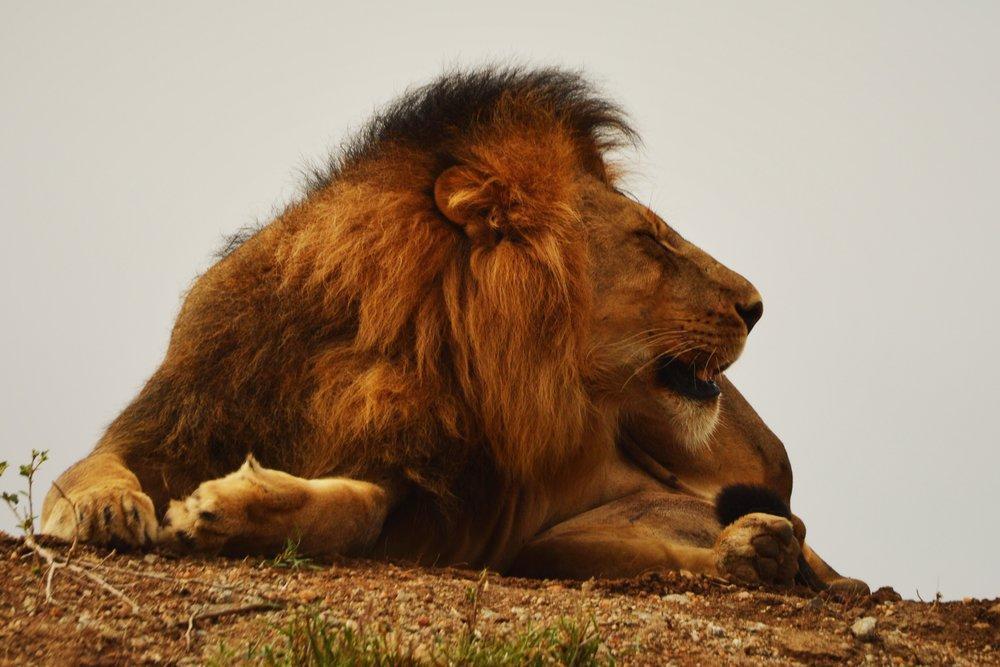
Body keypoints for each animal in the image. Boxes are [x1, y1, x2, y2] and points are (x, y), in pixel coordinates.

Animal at [41, 68, 865, 593]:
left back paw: (760, 548)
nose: (756, 305)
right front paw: (101, 508)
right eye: (650, 240)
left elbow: (356, 506)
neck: (368, 349)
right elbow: (90, 467)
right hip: (552, 546)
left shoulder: (418, 506)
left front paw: (225, 509)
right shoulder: (168, 420)